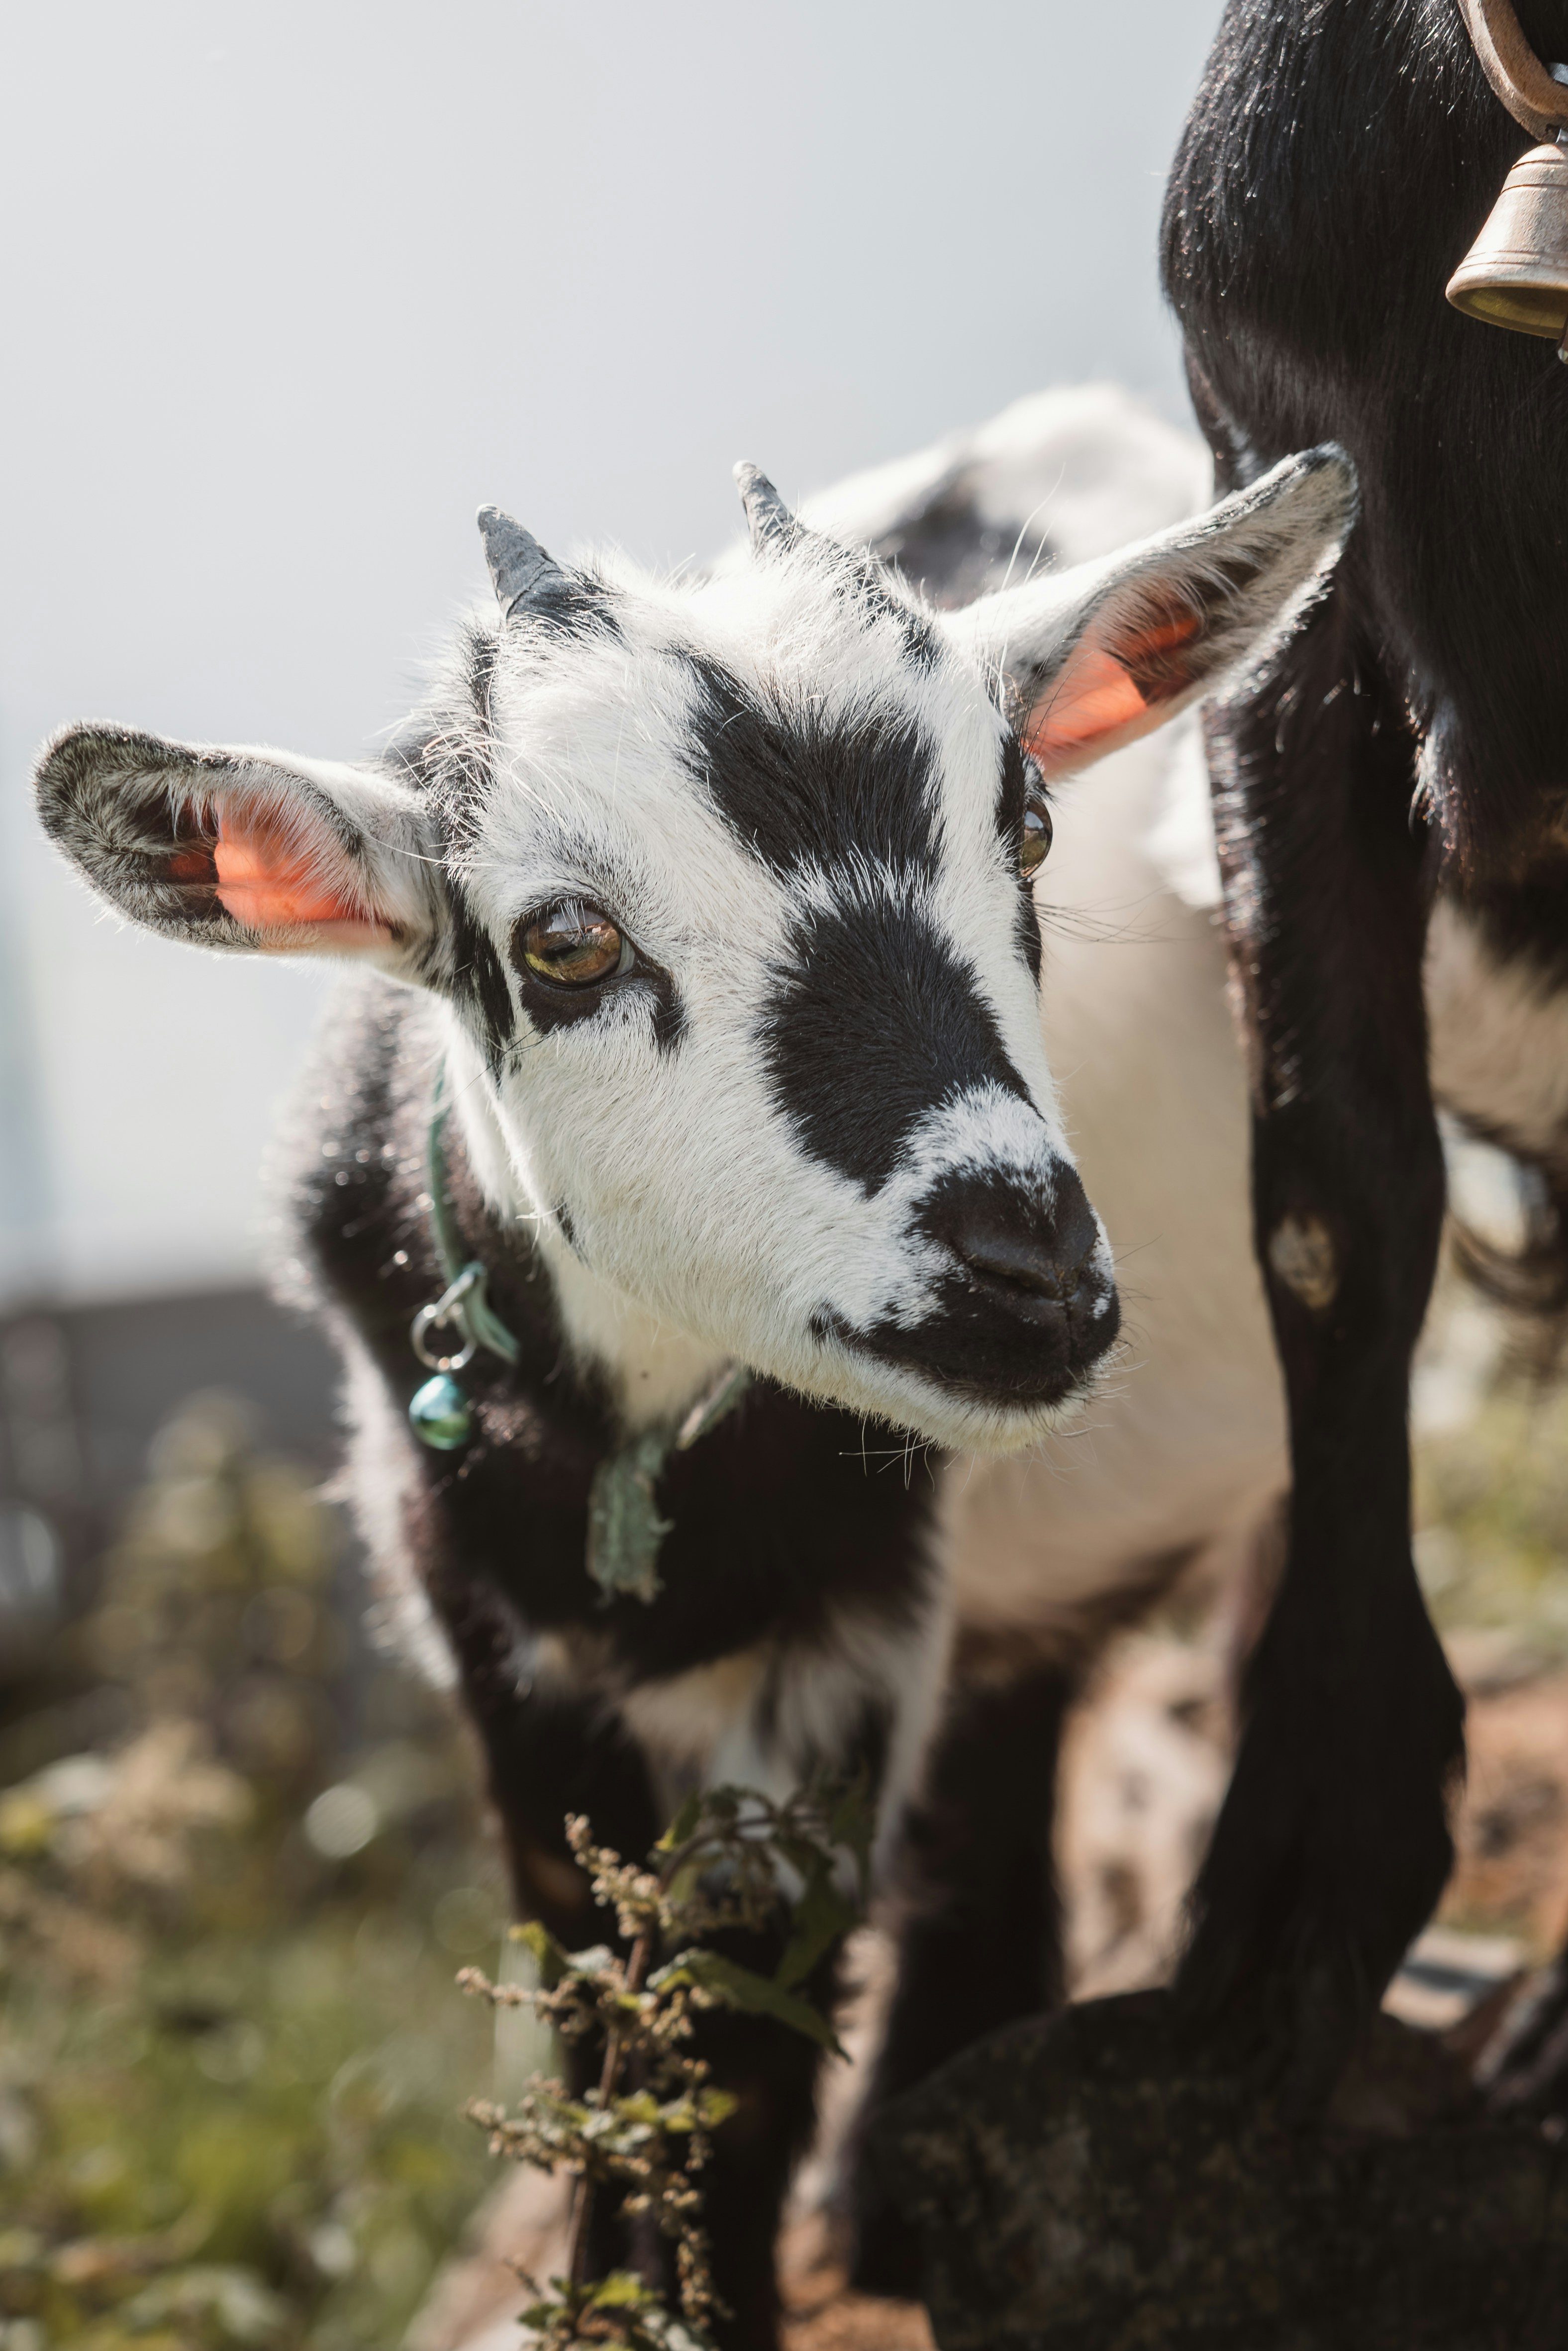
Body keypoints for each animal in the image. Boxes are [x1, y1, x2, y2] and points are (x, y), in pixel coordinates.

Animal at [34, 404, 1348, 2345]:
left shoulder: (849, 1625)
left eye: (1028, 822)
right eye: (564, 940)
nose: (1029, 1271)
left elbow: (736, 2040)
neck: (645, 1466)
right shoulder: (484, 1616)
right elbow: (592, 1988)